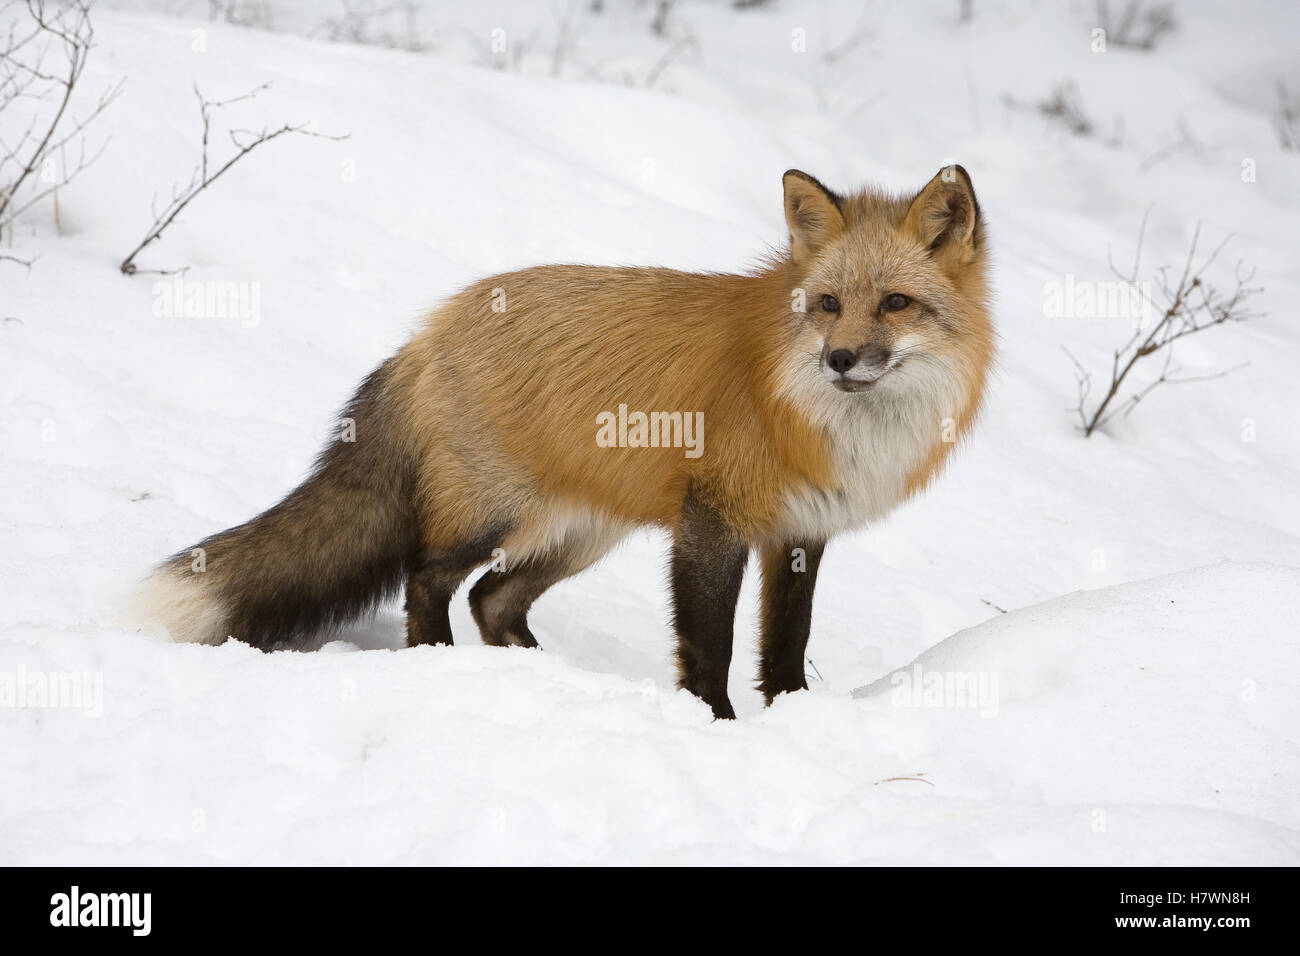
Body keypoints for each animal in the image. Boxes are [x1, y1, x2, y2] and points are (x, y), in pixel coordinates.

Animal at [135, 165, 994, 719]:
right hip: (495, 512)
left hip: (580, 534)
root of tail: (429, 329)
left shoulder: (800, 532)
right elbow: (709, 646)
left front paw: (795, 720)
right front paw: (712, 726)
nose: (841, 359)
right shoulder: (712, 523)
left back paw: (544, 674)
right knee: (428, 578)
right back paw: (437, 664)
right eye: (827, 304)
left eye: (895, 303)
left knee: (492, 598)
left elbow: (786, 644)